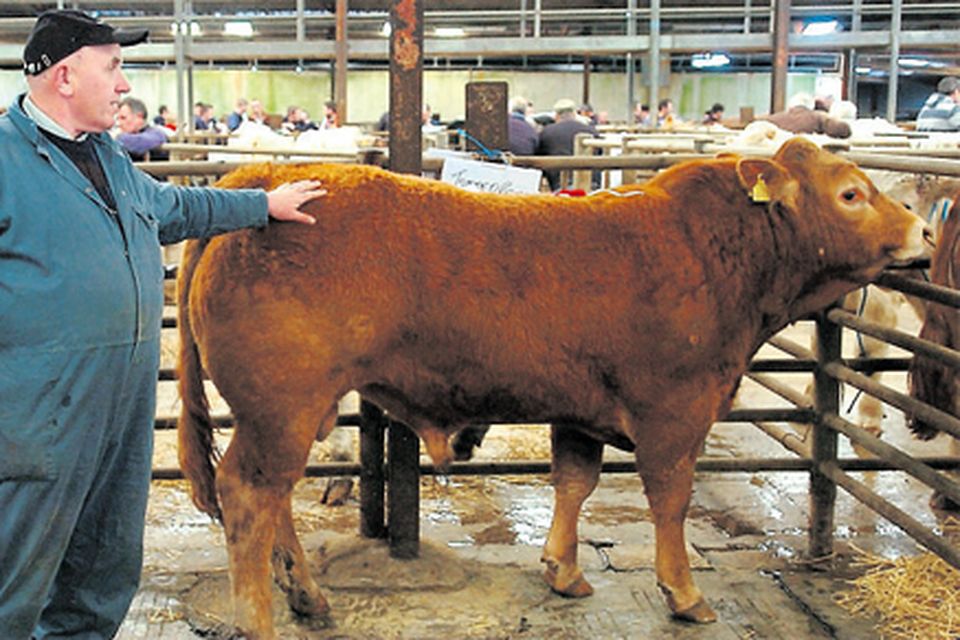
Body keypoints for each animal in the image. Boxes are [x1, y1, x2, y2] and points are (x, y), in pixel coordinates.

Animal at [177, 138, 932, 639]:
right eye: (852, 193)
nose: (924, 232)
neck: (717, 251)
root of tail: (266, 173)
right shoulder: (675, 411)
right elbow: (671, 502)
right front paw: (684, 592)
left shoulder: (580, 410)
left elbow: (575, 482)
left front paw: (562, 570)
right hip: (282, 409)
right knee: (250, 497)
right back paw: (261, 618)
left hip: (291, 413)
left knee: (275, 501)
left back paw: (307, 596)